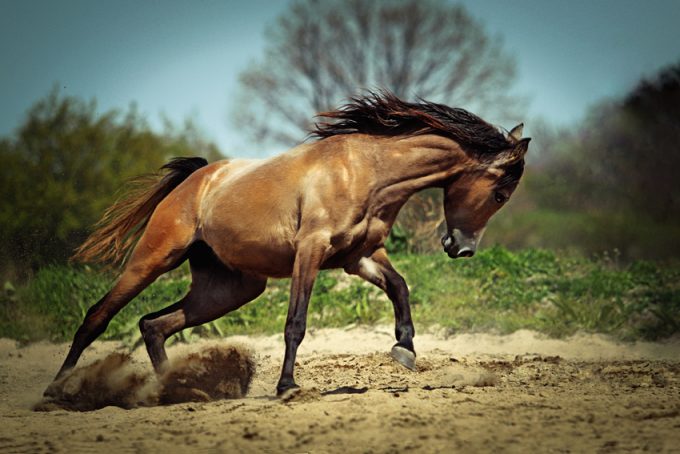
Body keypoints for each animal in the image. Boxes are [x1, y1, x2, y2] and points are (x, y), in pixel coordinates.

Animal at [45, 92, 529, 397]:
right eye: (500, 194)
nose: (461, 248)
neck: (367, 172)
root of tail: (195, 181)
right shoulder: (310, 251)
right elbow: (296, 322)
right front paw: (287, 386)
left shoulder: (359, 257)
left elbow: (399, 286)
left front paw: (404, 351)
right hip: (154, 258)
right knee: (97, 318)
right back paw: (54, 390)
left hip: (231, 288)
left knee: (153, 325)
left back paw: (178, 390)